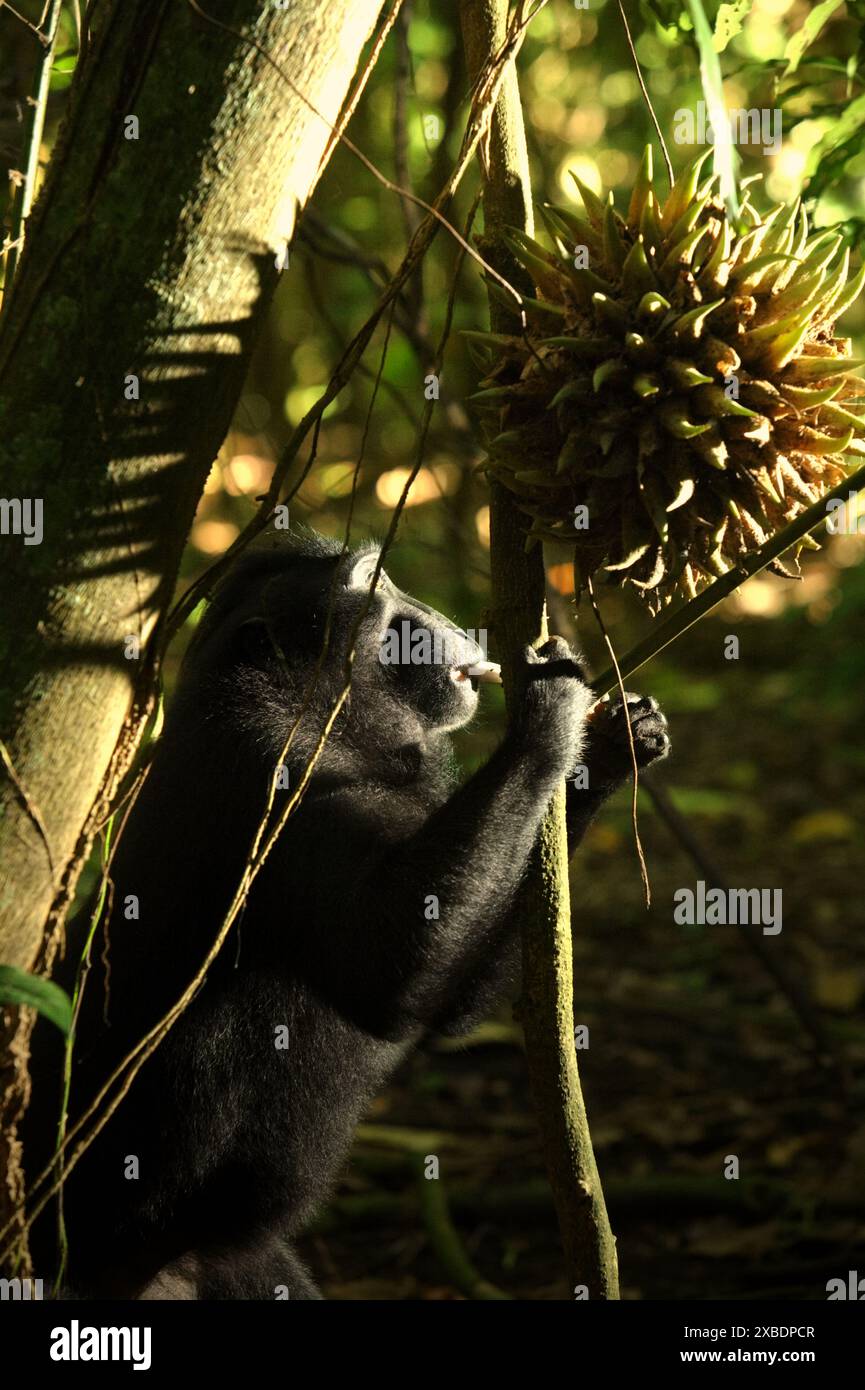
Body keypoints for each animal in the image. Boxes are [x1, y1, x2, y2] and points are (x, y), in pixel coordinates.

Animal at [24, 529, 670, 1299]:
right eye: (373, 586)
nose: (430, 616)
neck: (338, 721)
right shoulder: (272, 769)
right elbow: (386, 971)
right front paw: (547, 713)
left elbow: (446, 1004)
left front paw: (610, 745)